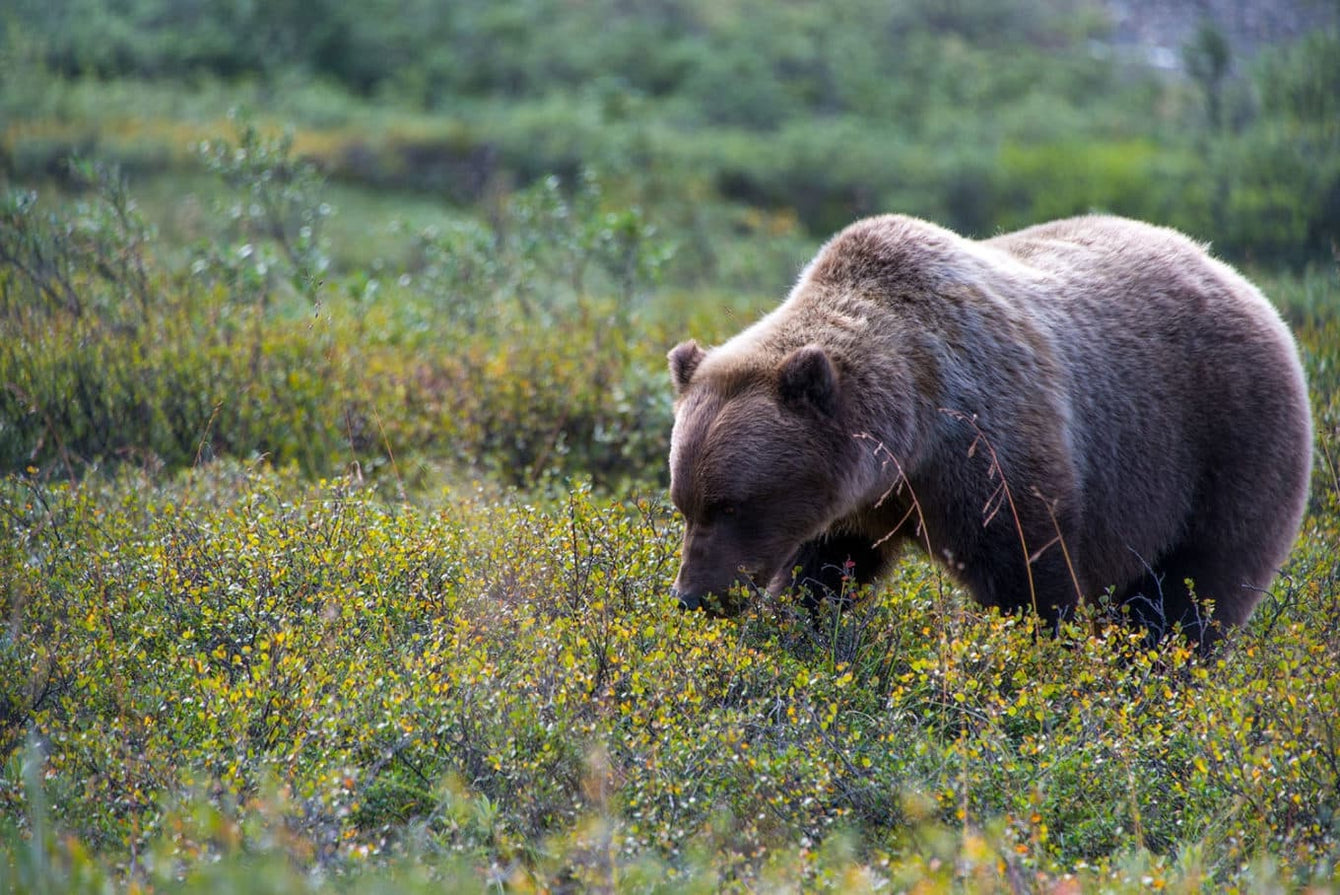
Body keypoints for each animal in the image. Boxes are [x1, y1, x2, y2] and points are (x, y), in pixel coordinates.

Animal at [666, 214, 1313, 650]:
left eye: (733, 505)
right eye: (684, 503)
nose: (695, 597)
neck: (912, 439)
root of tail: (1243, 283)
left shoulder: (988, 445)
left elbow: (1029, 572)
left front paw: (1043, 657)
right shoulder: (859, 500)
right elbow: (822, 573)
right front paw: (792, 626)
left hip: (1224, 446)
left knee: (1192, 592)